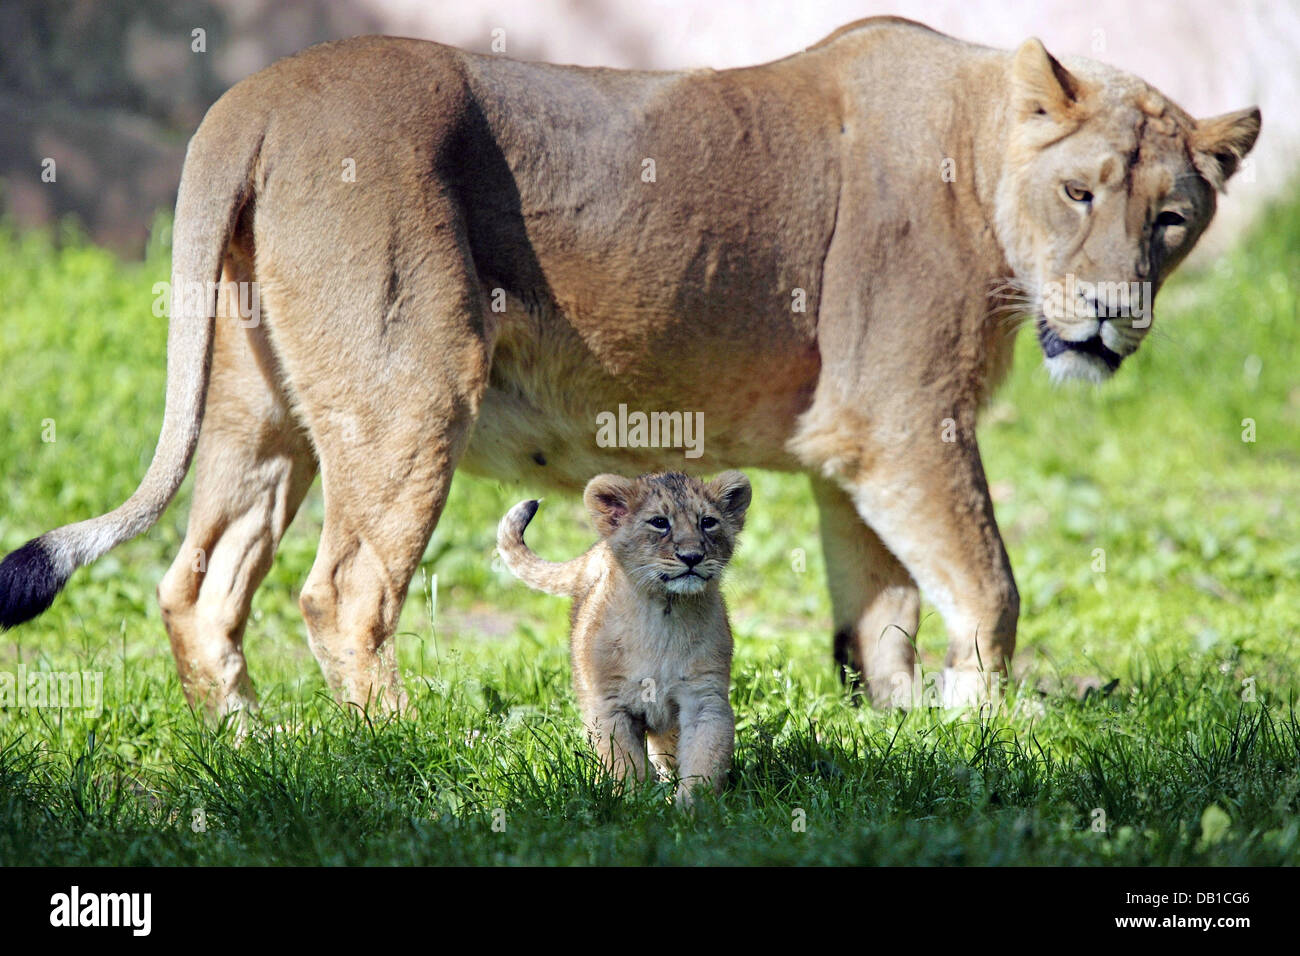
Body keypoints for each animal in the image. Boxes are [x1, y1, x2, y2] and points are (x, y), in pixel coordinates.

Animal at [0, 17, 1259, 716]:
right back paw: (395, 745)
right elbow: (988, 586)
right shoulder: (906, 419)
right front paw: (988, 729)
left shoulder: (851, 447)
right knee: (343, 590)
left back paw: (251, 745)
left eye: (1171, 218)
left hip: (263, 415)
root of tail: (250, 98)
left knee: (199, 582)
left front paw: (900, 726)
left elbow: (881, 605)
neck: (982, 154)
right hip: (410, 388)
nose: (1112, 316)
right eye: (1081, 191)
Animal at [498, 470, 750, 805]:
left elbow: (703, 761)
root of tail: (596, 550)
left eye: (708, 522)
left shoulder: (704, 698)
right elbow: (624, 763)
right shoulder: (611, 706)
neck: (666, 613)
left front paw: (691, 808)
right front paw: (633, 805)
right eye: (659, 522)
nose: (692, 557)